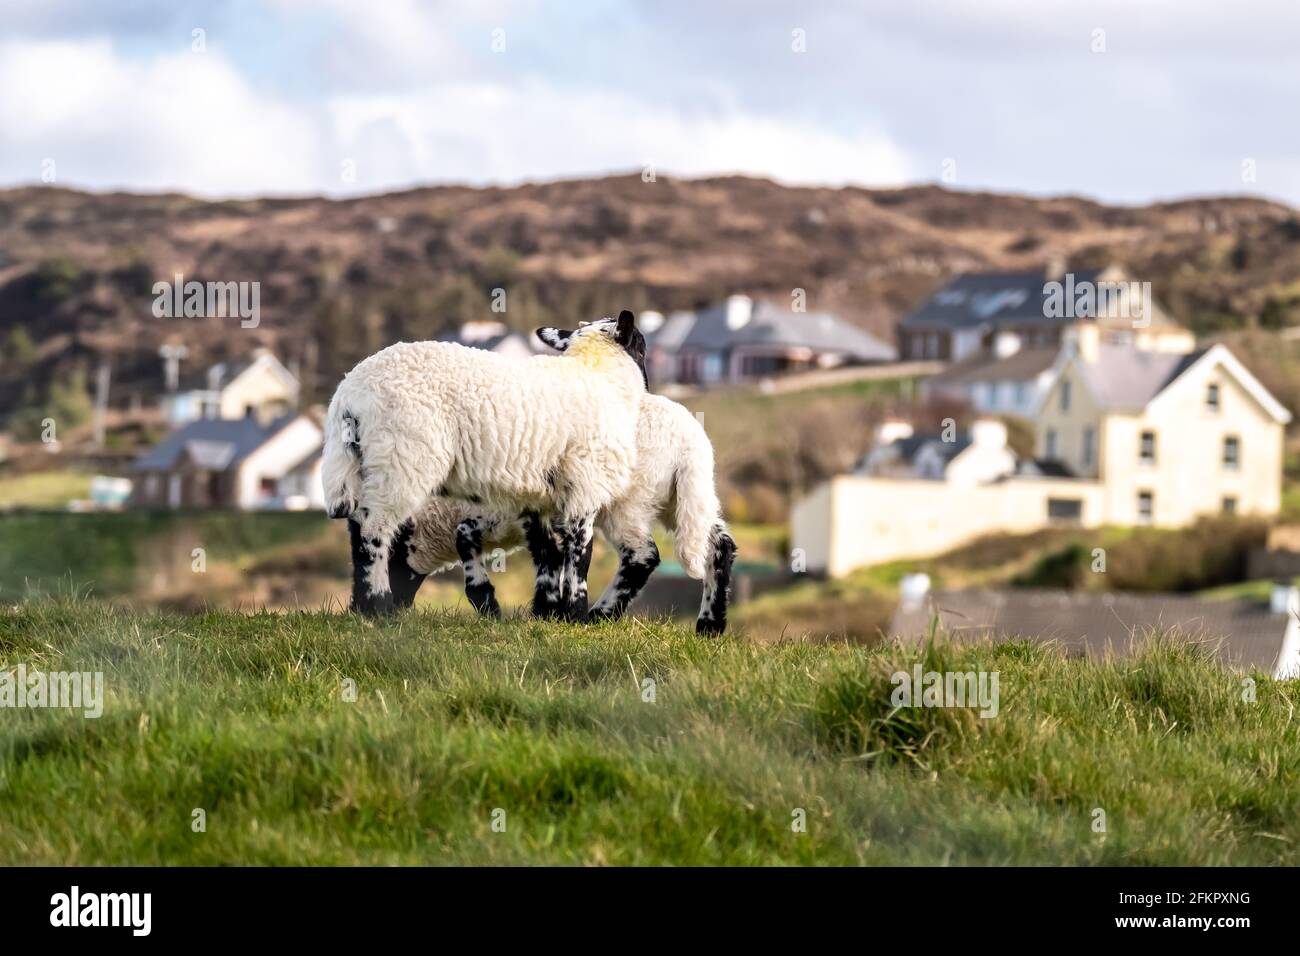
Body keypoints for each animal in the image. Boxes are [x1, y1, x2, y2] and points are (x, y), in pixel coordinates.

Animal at [323, 311, 646, 617]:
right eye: (642, 348)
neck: (600, 375)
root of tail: (348, 395)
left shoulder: (542, 500)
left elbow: (550, 556)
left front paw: (550, 612)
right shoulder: (585, 486)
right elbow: (580, 554)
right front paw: (575, 614)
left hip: (363, 462)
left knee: (356, 525)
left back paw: (362, 606)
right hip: (402, 456)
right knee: (373, 528)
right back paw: (379, 606)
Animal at [381, 392, 738, 634]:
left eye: (393, 554)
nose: (387, 609)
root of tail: (689, 444)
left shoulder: (511, 512)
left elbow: (473, 538)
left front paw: (495, 604)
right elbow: (552, 557)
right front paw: (547, 611)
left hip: (628, 501)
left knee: (642, 556)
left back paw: (598, 616)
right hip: (685, 499)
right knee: (721, 545)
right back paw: (709, 627)